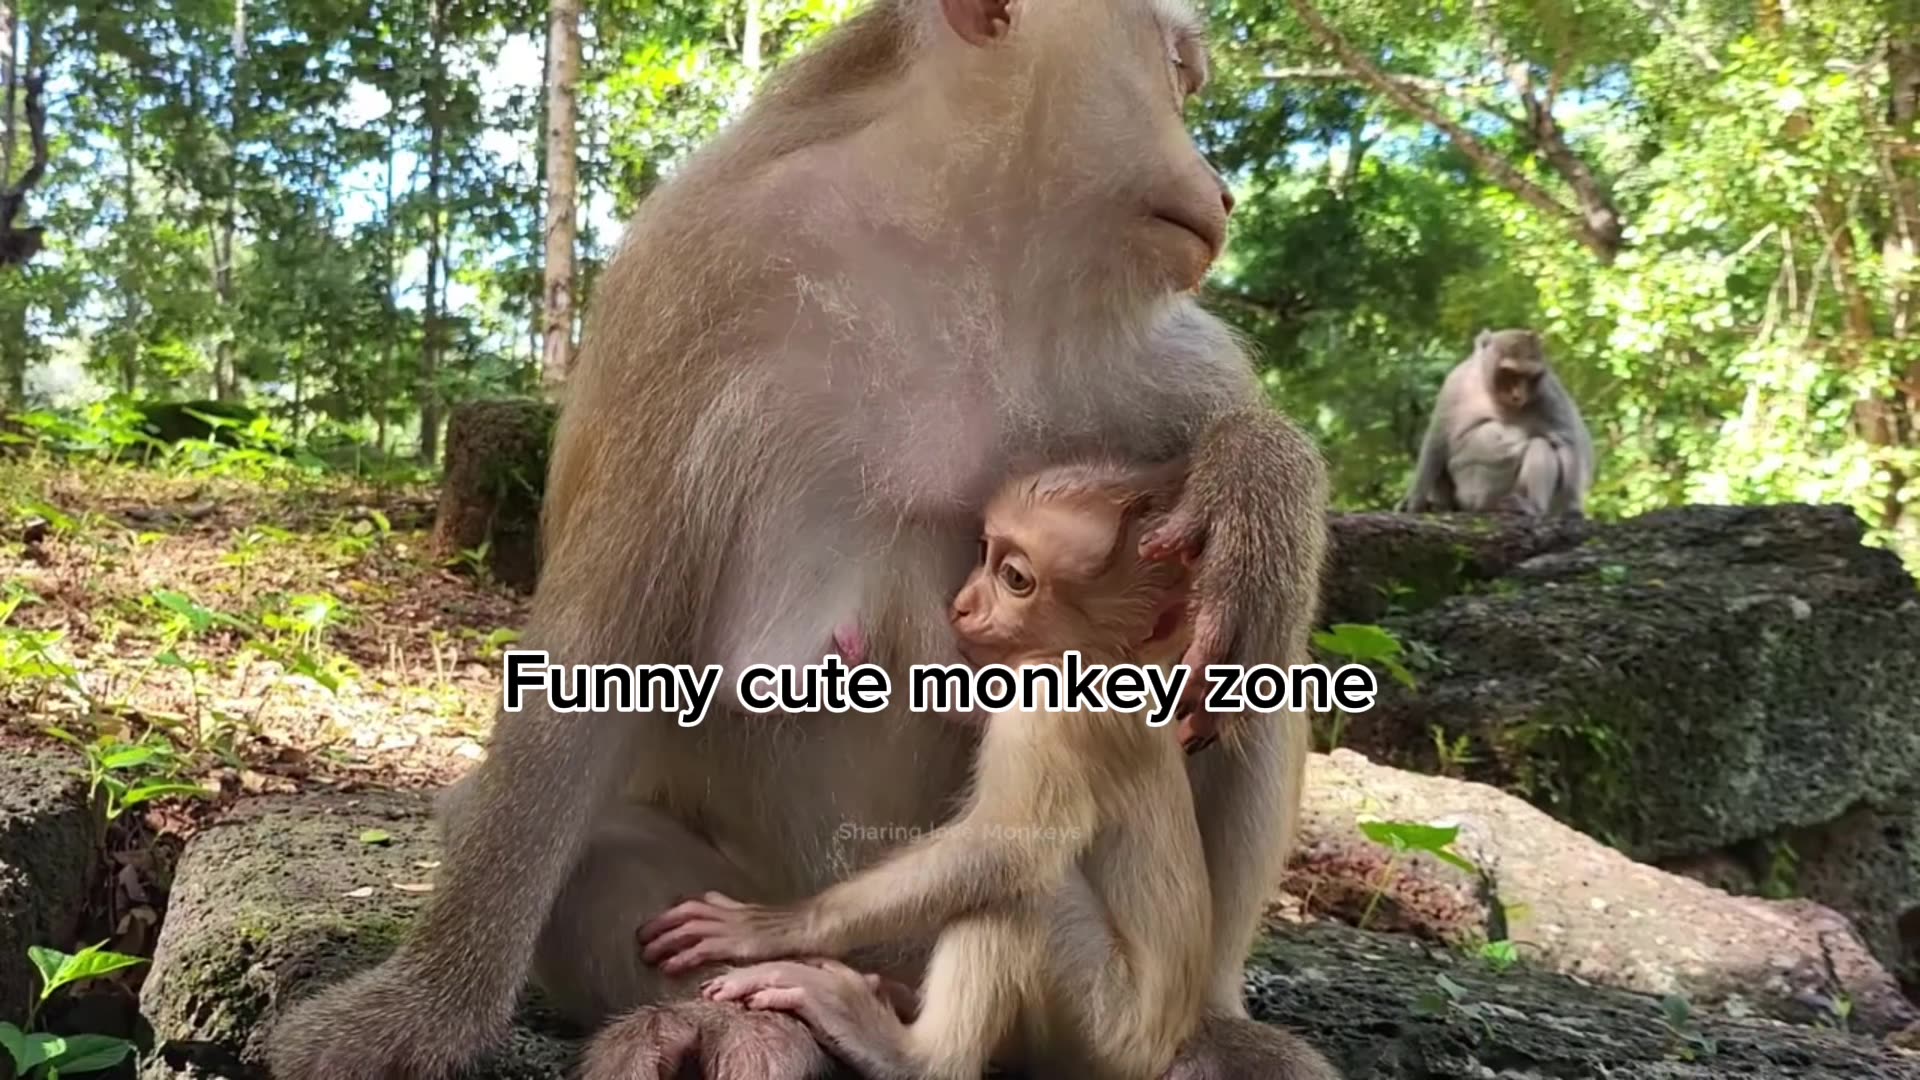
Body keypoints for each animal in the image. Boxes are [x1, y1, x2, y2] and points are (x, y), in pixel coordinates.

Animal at [637, 462, 1211, 1080]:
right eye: (984, 553)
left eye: (1014, 578)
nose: (963, 604)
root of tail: (1165, 1046)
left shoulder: (1049, 716)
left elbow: (1005, 847)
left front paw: (776, 927)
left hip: (1102, 1032)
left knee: (1021, 894)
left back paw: (909, 1052)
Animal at [1400, 329, 1595, 518]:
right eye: (1510, 373)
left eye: (1530, 377)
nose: (1518, 395)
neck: (1490, 391)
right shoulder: (1455, 383)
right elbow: (1437, 442)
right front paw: (1415, 501)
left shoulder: (1547, 393)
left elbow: (1566, 442)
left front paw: (1571, 505)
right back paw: (1443, 505)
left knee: (1540, 445)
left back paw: (1533, 507)